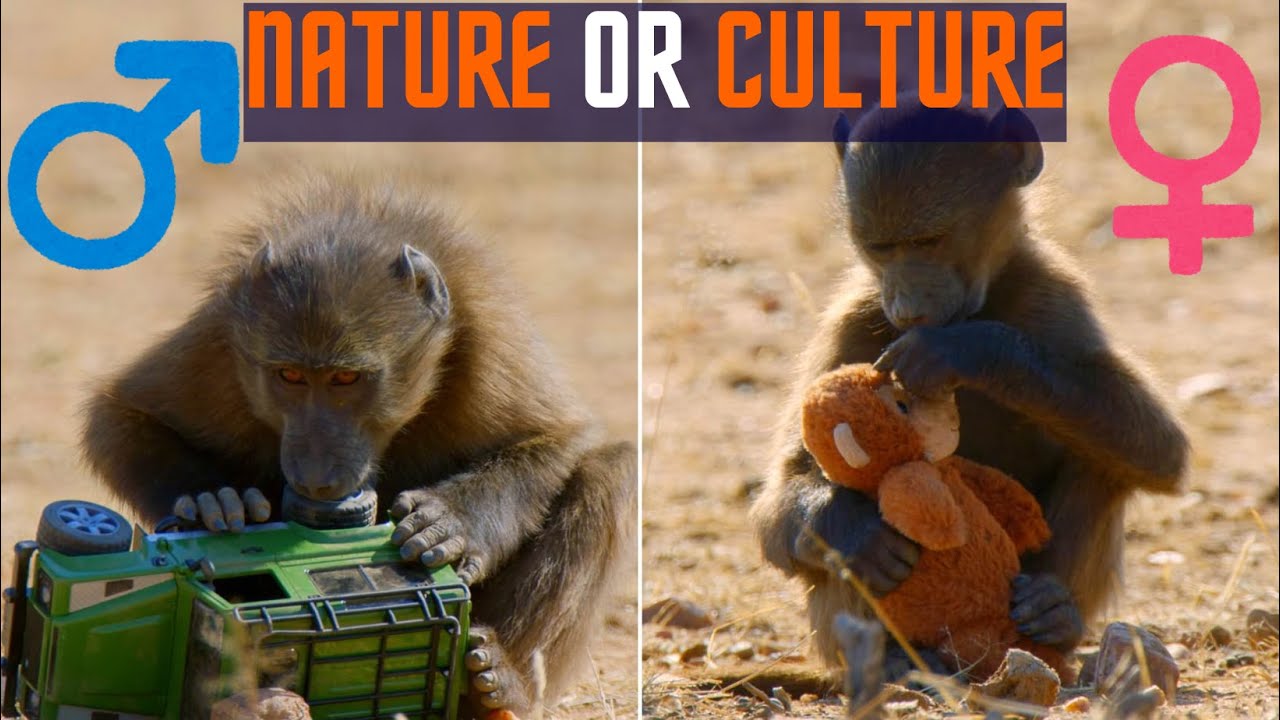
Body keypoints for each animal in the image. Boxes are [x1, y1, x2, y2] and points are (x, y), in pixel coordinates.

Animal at [80, 174, 637, 718]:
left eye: (346, 378)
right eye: (290, 376)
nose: (317, 478)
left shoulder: (490, 333)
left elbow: (558, 437)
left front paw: (451, 520)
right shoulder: (221, 343)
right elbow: (120, 416)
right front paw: (209, 501)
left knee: (608, 472)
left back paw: (500, 686)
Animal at [750, 104, 1189, 680]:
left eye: (929, 240)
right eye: (880, 248)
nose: (907, 308)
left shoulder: (1053, 292)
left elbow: (1162, 450)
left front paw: (964, 350)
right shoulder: (855, 315)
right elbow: (777, 499)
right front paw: (854, 532)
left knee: (1100, 459)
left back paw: (1054, 615)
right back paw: (888, 661)